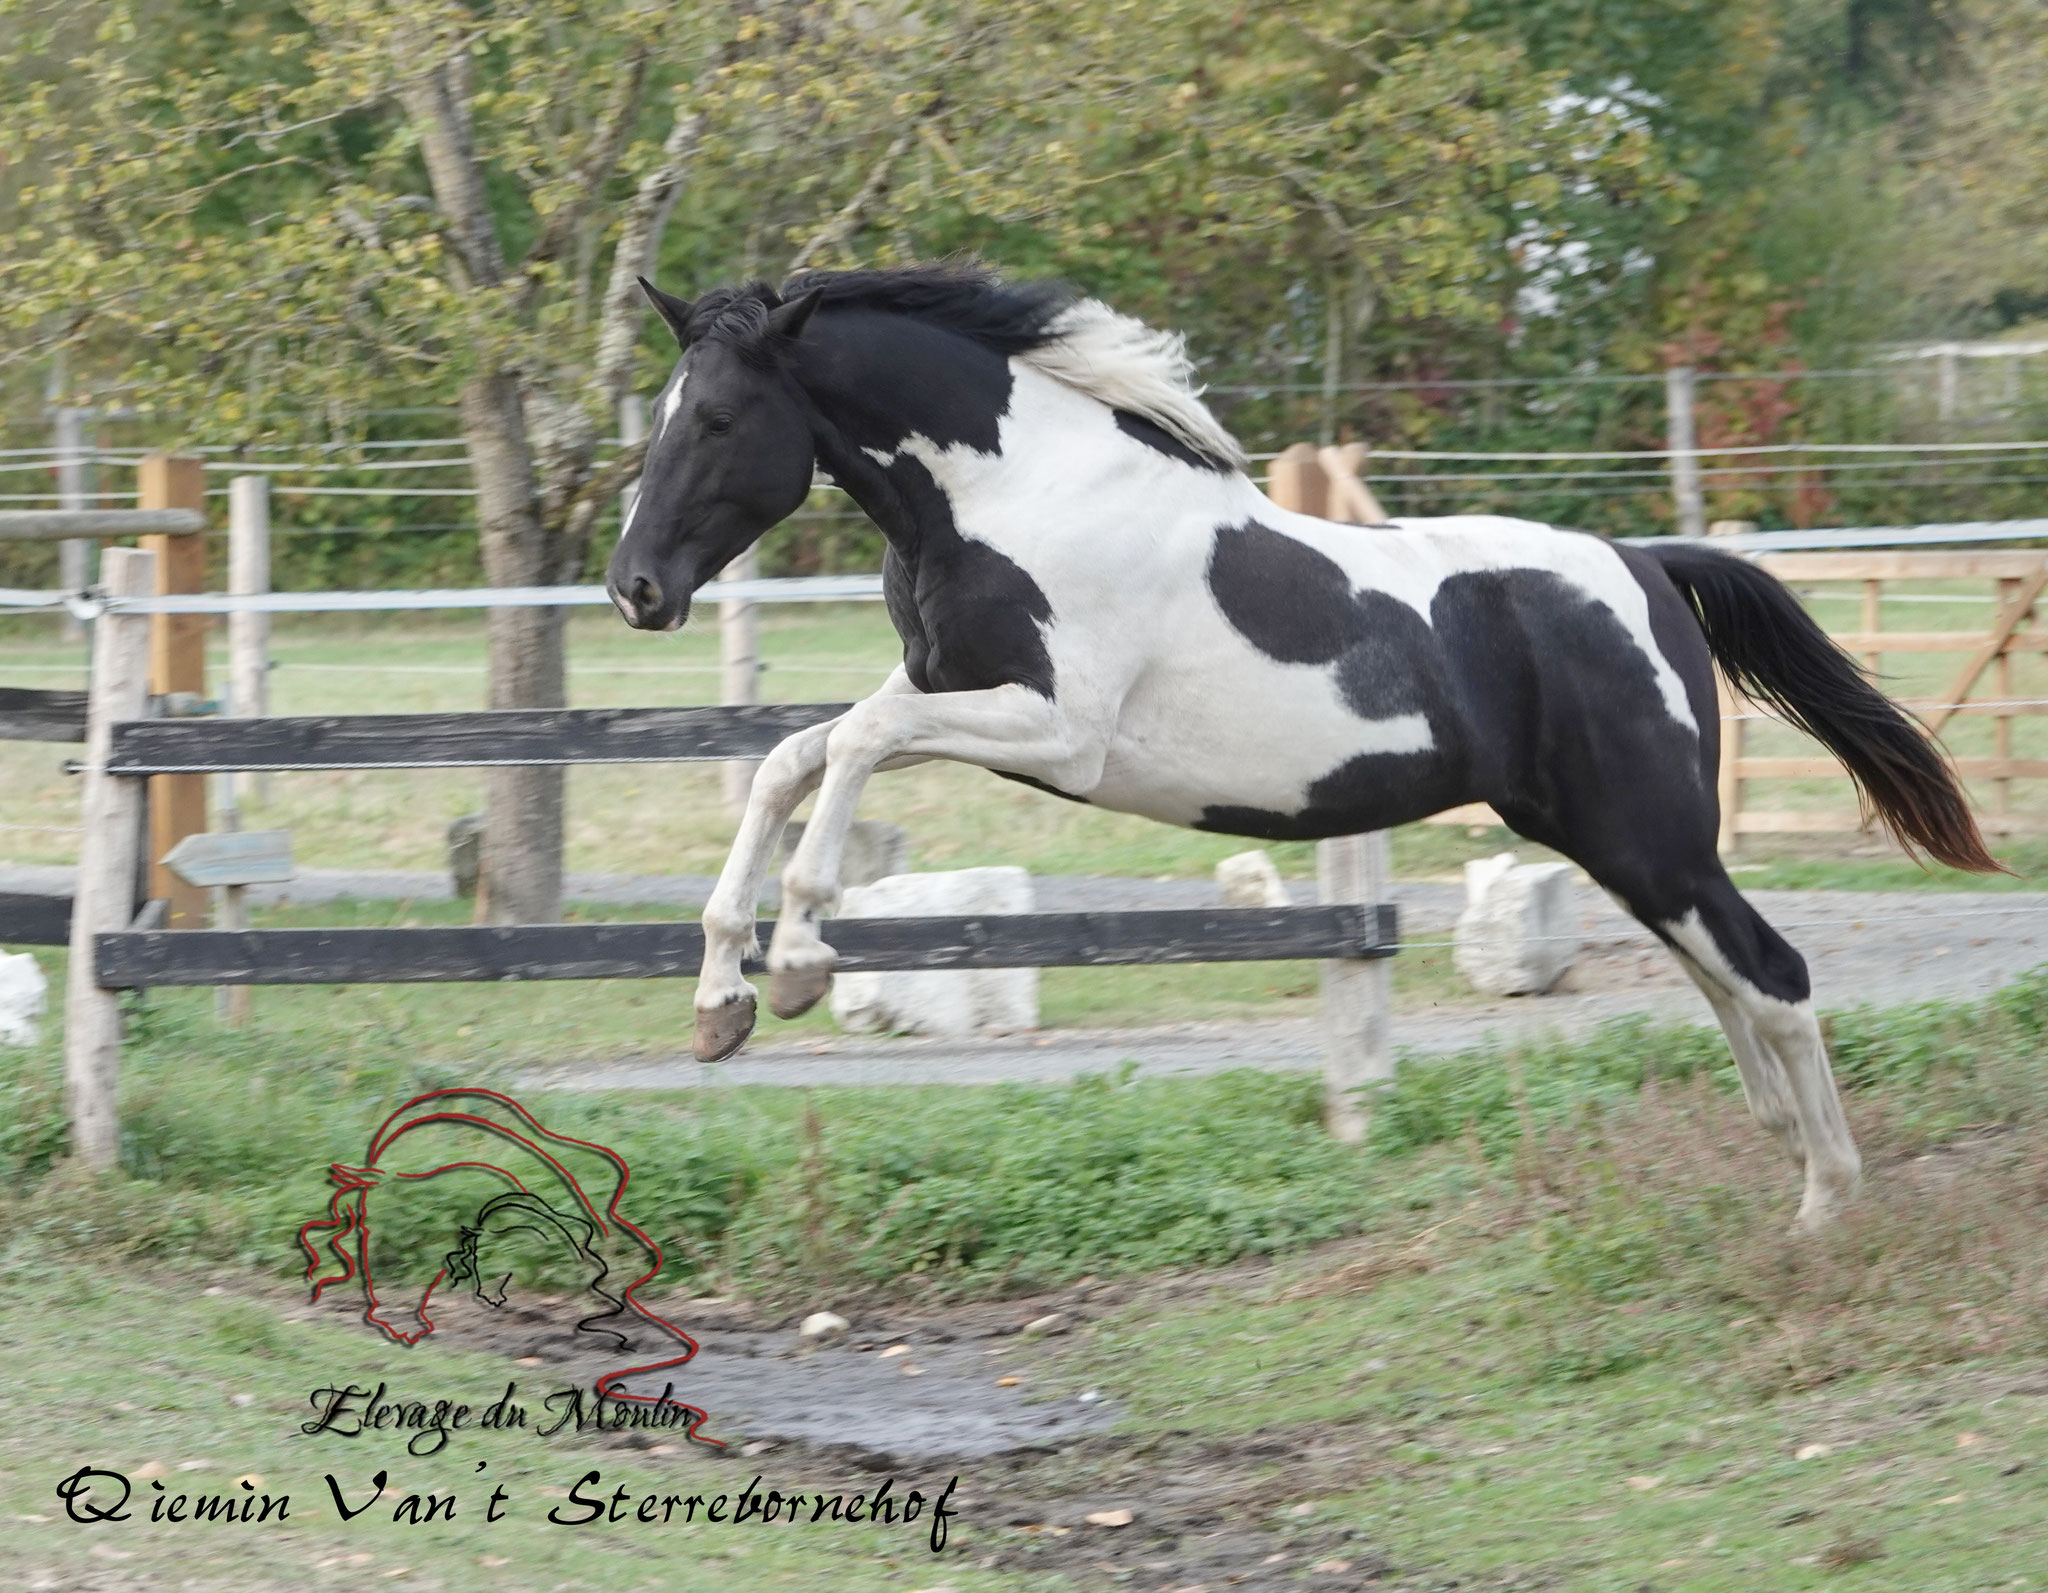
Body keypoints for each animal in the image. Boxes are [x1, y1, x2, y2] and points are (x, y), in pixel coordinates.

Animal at [605, 261, 2000, 1230]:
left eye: (718, 418)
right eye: (662, 414)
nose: (634, 589)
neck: (1011, 499)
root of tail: (1646, 565)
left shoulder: (1055, 730)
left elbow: (849, 747)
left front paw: (796, 964)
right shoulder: (958, 699)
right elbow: (794, 757)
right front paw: (719, 1002)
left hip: (1649, 837)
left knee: (1771, 973)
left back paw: (1822, 1204)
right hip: (1618, 844)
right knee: (1726, 980)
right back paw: (1788, 1162)